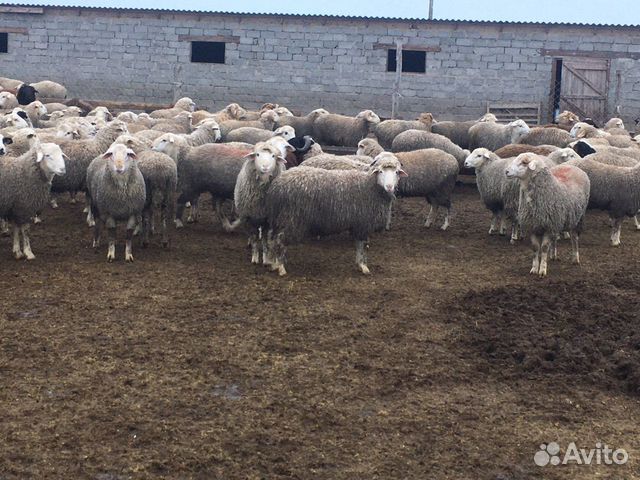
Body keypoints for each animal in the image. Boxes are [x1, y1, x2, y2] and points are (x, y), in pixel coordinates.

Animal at [264, 152, 406, 276]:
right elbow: (362, 246)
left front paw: (359, 264)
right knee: (280, 240)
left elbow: (359, 245)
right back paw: (281, 267)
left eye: (396, 172)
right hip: (292, 219)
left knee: (272, 238)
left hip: (280, 218)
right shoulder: (363, 223)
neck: (370, 185)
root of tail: (277, 186)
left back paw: (273, 263)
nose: (389, 186)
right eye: (380, 171)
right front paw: (363, 266)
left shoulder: (358, 223)